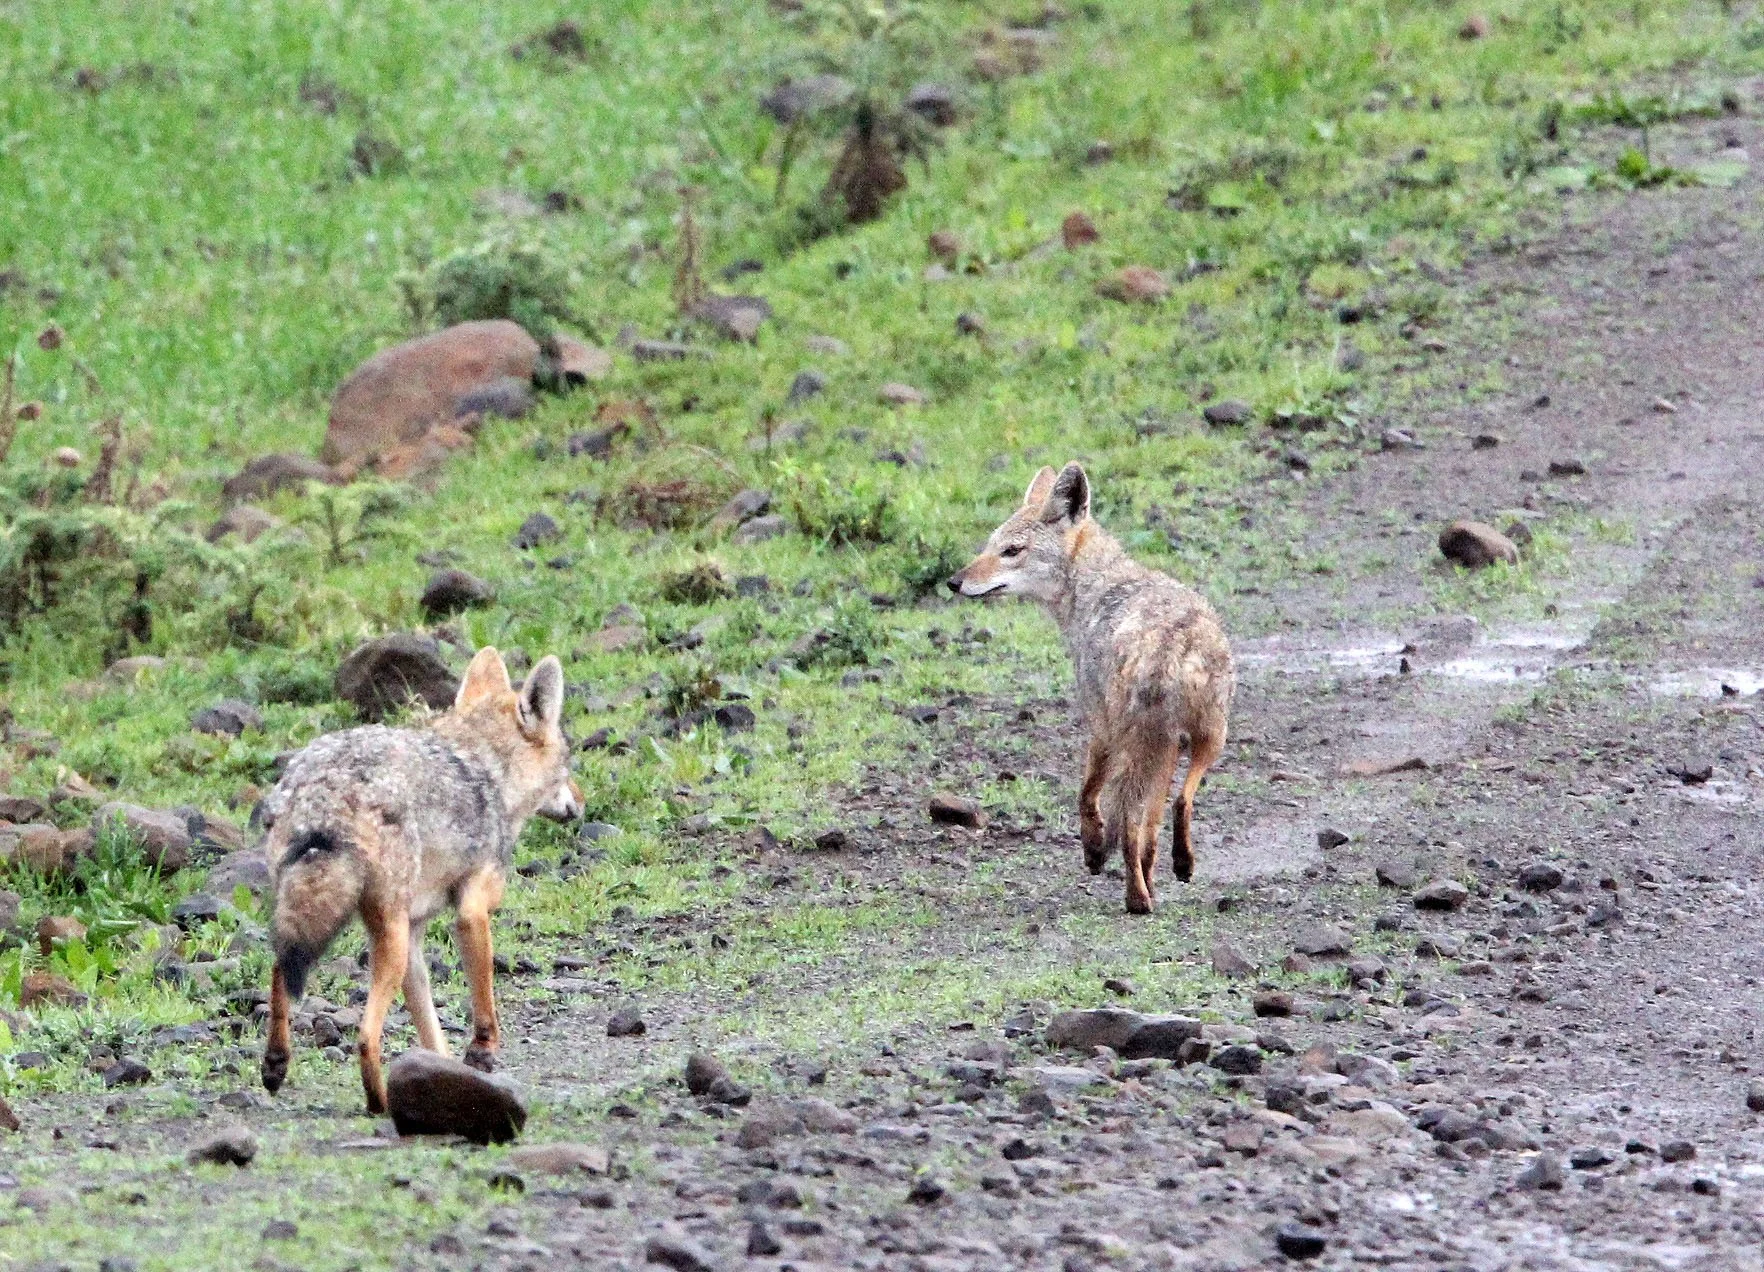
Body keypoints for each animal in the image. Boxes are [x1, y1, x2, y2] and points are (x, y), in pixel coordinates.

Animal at [258, 646, 582, 1113]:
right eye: (568, 765)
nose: (581, 803)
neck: (489, 770)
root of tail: (322, 791)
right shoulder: (472, 911)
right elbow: (484, 1003)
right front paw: (482, 1053)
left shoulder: (414, 938)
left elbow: (431, 1032)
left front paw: (442, 1076)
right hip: (385, 941)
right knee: (365, 1037)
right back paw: (379, 1104)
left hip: (332, 927)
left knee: (280, 970)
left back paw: (276, 1063)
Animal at [948, 462, 1234, 914]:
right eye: (989, 546)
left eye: (1012, 551)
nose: (954, 582)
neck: (1098, 587)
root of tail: (1176, 643)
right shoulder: (1166, 744)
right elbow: (1150, 822)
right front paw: (1151, 870)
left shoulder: (1101, 727)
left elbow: (1086, 795)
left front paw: (1094, 849)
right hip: (1204, 740)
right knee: (1177, 803)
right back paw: (1179, 865)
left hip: (1147, 740)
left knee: (1132, 821)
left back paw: (1136, 899)